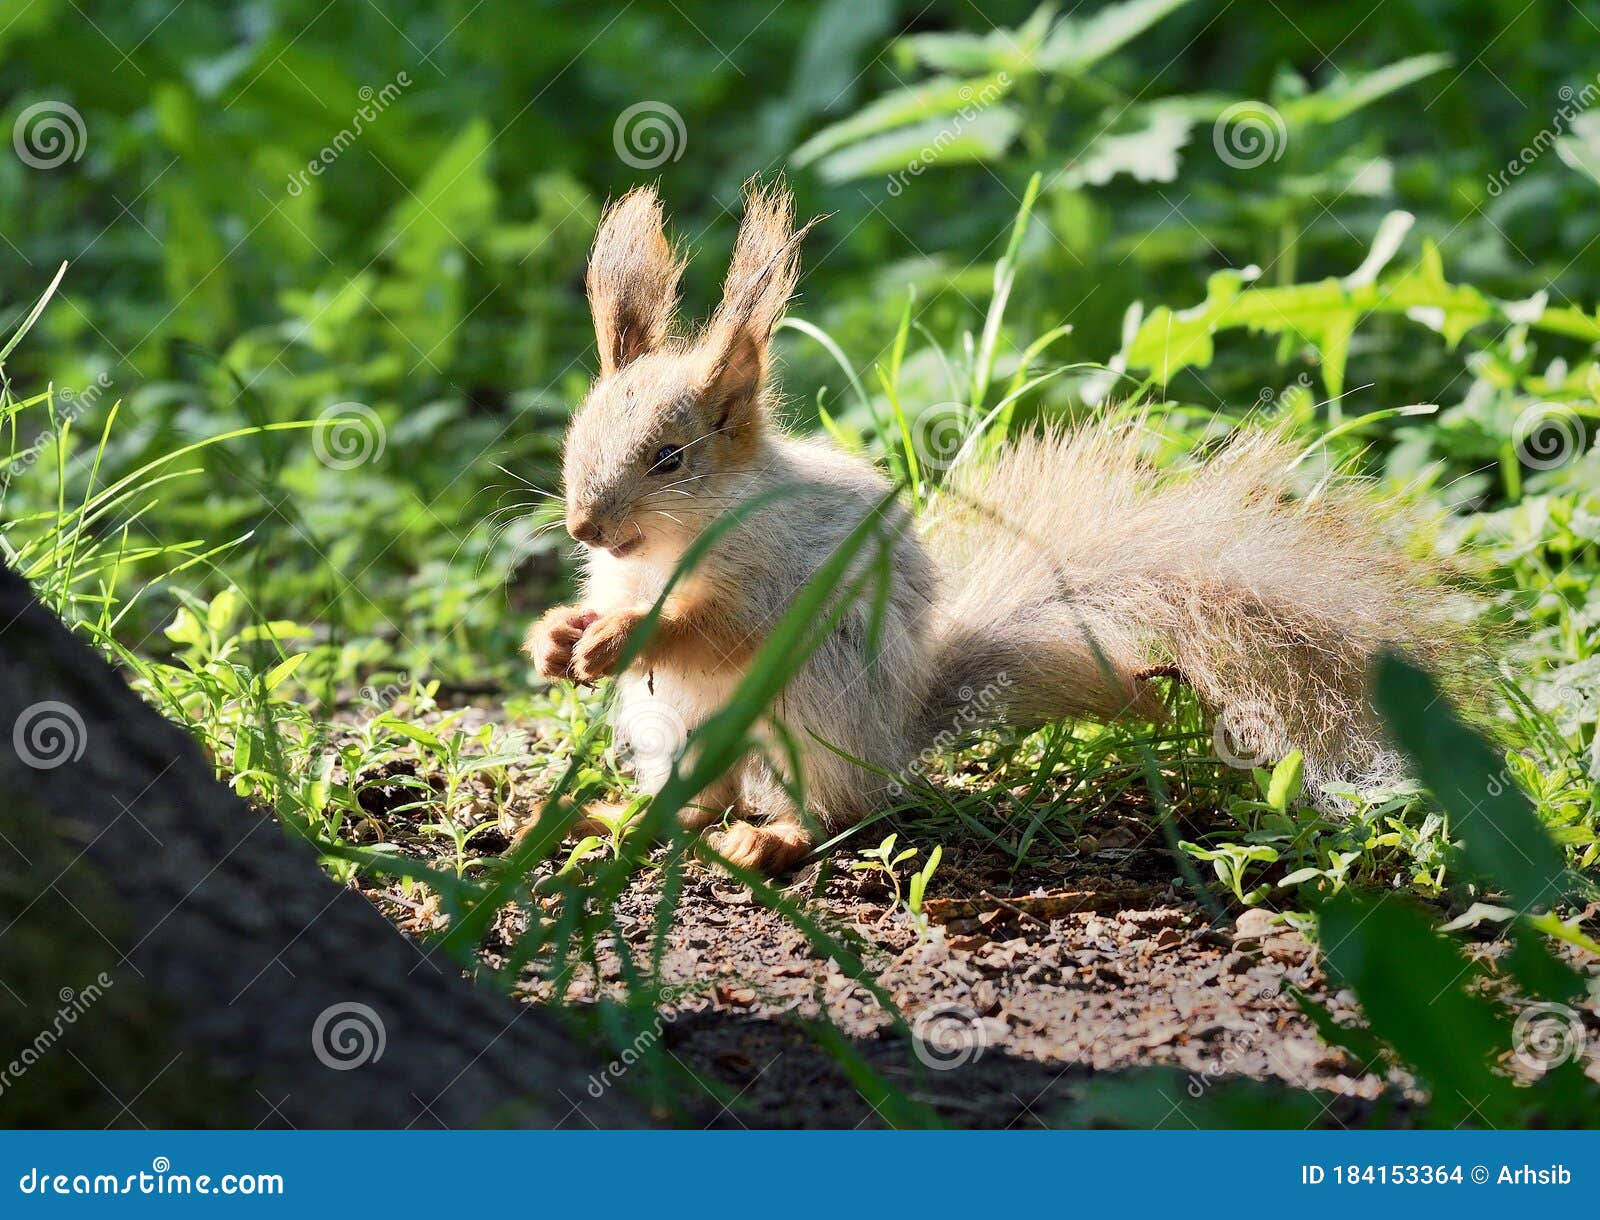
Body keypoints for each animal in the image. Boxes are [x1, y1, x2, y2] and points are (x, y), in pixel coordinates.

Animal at [525, 180, 1468, 875]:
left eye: (669, 458)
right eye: (579, 430)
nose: (584, 526)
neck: (661, 556)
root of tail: (897, 734)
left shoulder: (778, 578)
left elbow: (715, 630)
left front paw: (622, 636)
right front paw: (556, 636)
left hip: (815, 714)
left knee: (830, 808)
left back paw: (769, 838)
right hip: (673, 730)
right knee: (704, 796)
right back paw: (608, 813)